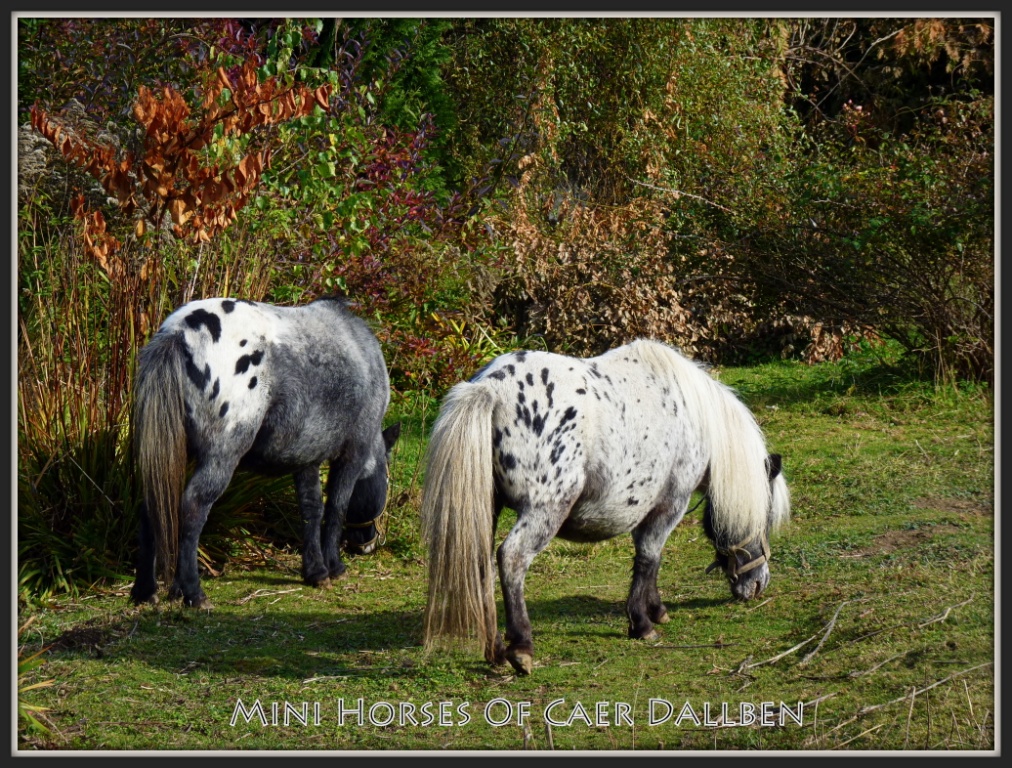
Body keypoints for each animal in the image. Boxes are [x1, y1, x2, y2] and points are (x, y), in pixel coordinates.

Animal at [130, 296, 400, 609]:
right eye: (387, 479)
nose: (368, 544)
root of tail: (179, 332)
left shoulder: (307, 459)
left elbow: (311, 509)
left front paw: (316, 571)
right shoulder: (353, 453)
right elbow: (336, 507)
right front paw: (334, 566)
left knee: (153, 505)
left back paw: (146, 590)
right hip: (221, 457)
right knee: (194, 507)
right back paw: (195, 594)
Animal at [421, 339, 789, 675]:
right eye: (765, 517)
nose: (759, 584)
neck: (695, 415)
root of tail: (490, 388)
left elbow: (649, 560)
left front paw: (656, 610)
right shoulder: (671, 503)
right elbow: (649, 557)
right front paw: (642, 624)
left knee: (482, 563)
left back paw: (496, 649)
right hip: (544, 510)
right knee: (511, 559)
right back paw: (521, 647)